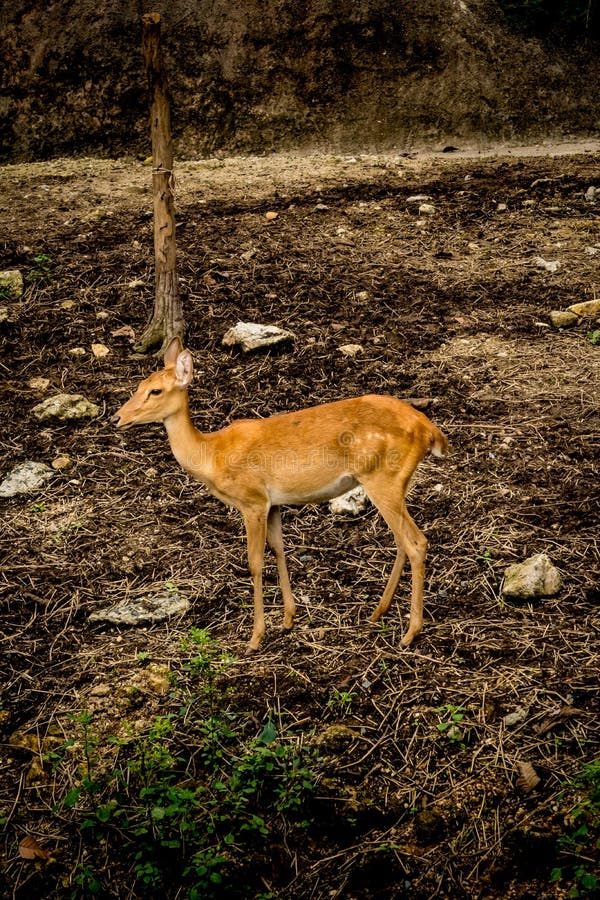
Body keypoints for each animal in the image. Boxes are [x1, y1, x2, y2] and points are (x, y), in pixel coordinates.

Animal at [112, 338, 448, 652]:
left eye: (155, 391)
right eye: (139, 385)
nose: (116, 417)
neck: (212, 455)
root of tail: (430, 431)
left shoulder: (252, 500)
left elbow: (255, 563)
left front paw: (255, 637)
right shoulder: (273, 504)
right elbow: (279, 550)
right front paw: (288, 619)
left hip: (382, 478)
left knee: (416, 542)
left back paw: (410, 633)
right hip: (393, 482)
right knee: (403, 541)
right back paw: (379, 612)